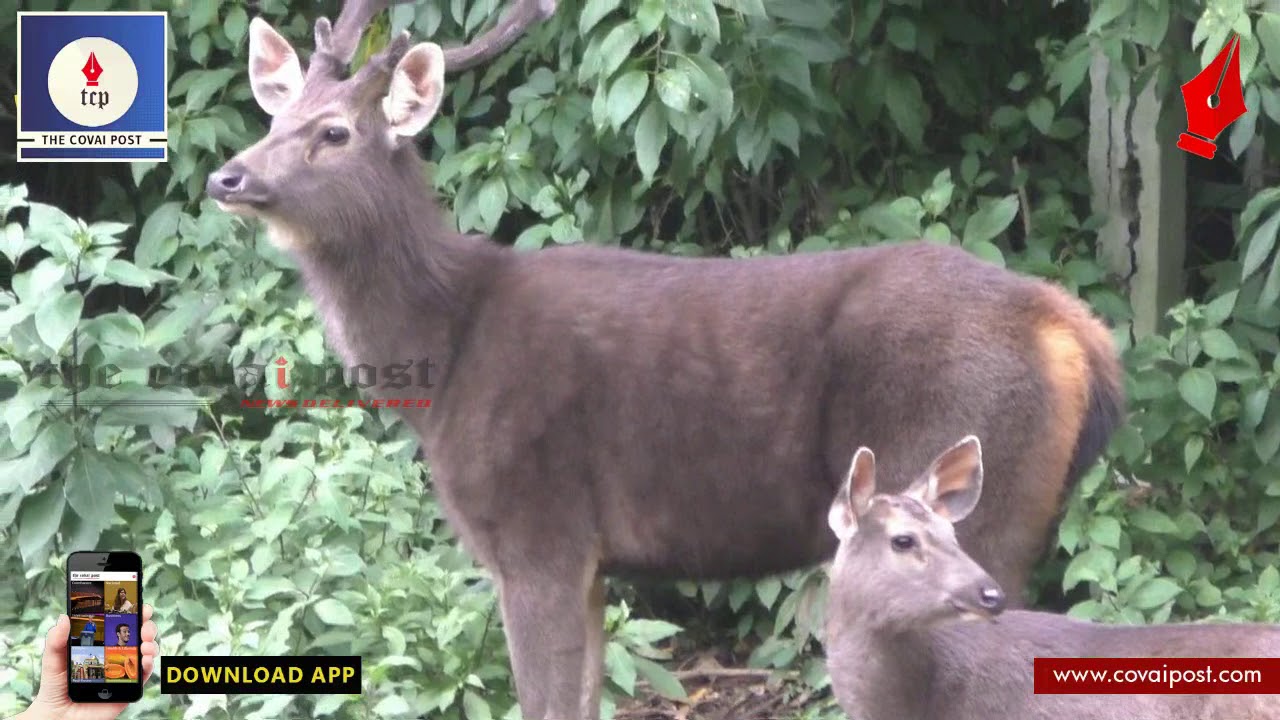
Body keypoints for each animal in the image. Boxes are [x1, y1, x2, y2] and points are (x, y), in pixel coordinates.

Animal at [204, 1, 1125, 718]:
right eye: (273, 119)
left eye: (334, 132)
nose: (227, 177)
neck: (444, 355)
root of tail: (1076, 333)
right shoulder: (590, 561)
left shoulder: (537, 526)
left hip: (973, 481)